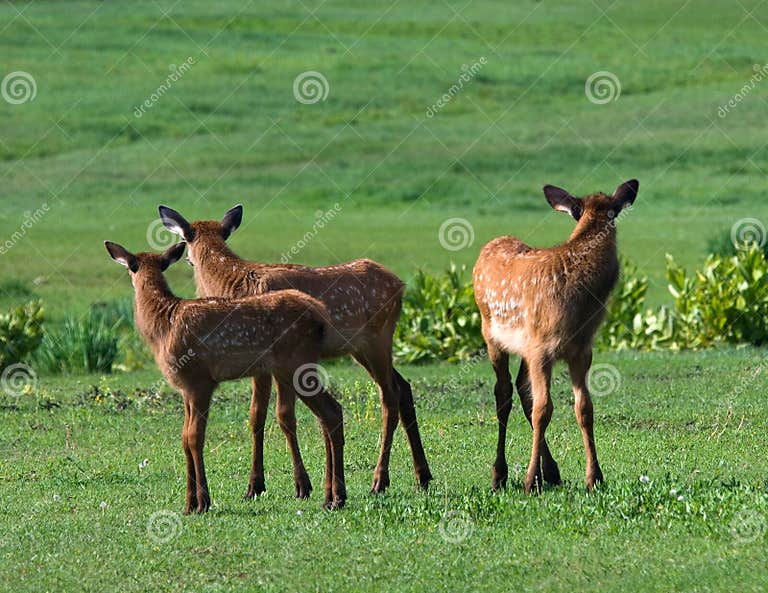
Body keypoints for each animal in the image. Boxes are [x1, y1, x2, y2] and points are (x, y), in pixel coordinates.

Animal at [103, 240, 346, 512]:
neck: (164, 325)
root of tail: (320, 314)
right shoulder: (185, 388)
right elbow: (184, 438)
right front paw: (189, 504)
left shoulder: (199, 381)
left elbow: (195, 437)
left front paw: (203, 502)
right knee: (329, 413)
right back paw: (330, 496)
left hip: (296, 363)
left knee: (330, 412)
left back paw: (336, 497)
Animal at [157, 204, 432, 499]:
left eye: (187, 253)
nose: (188, 262)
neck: (232, 285)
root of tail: (401, 285)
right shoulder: (260, 363)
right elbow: (256, 415)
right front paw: (255, 485)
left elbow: (284, 415)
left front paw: (299, 484)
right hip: (360, 348)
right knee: (403, 386)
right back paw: (422, 476)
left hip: (378, 340)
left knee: (389, 395)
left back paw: (380, 480)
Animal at [473, 179, 639, 493]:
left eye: (612, 210)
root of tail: (488, 247)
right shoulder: (541, 348)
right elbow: (543, 410)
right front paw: (528, 480)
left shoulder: (581, 350)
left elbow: (584, 408)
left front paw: (594, 476)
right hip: (492, 334)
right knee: (503, 393)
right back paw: (500, 474)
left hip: (525, 346)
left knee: (521, 388)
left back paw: (549, 471)